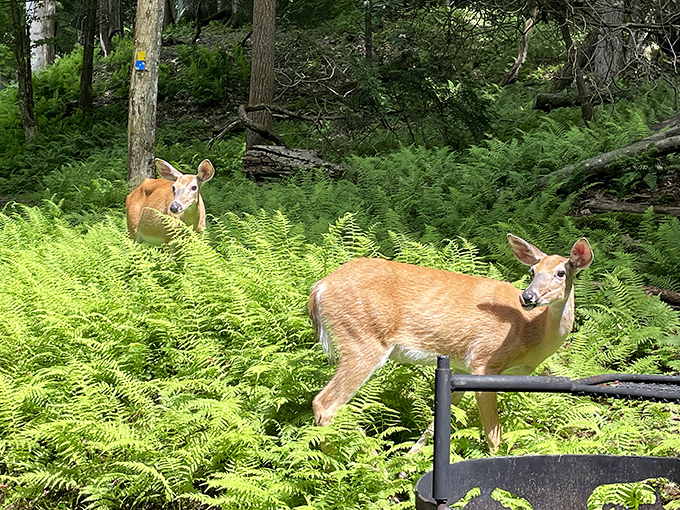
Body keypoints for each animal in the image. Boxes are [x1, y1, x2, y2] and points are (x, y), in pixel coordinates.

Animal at [308, 234, 593, 452]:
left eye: (560, 273)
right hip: (363, 339)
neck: (529, 333)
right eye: (532, 271)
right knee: (325, 403)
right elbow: (493, 436)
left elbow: (437, 422)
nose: (527, 296)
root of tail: (319, 287)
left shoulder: (459, 368)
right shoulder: (484, 362)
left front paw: (411, 460)